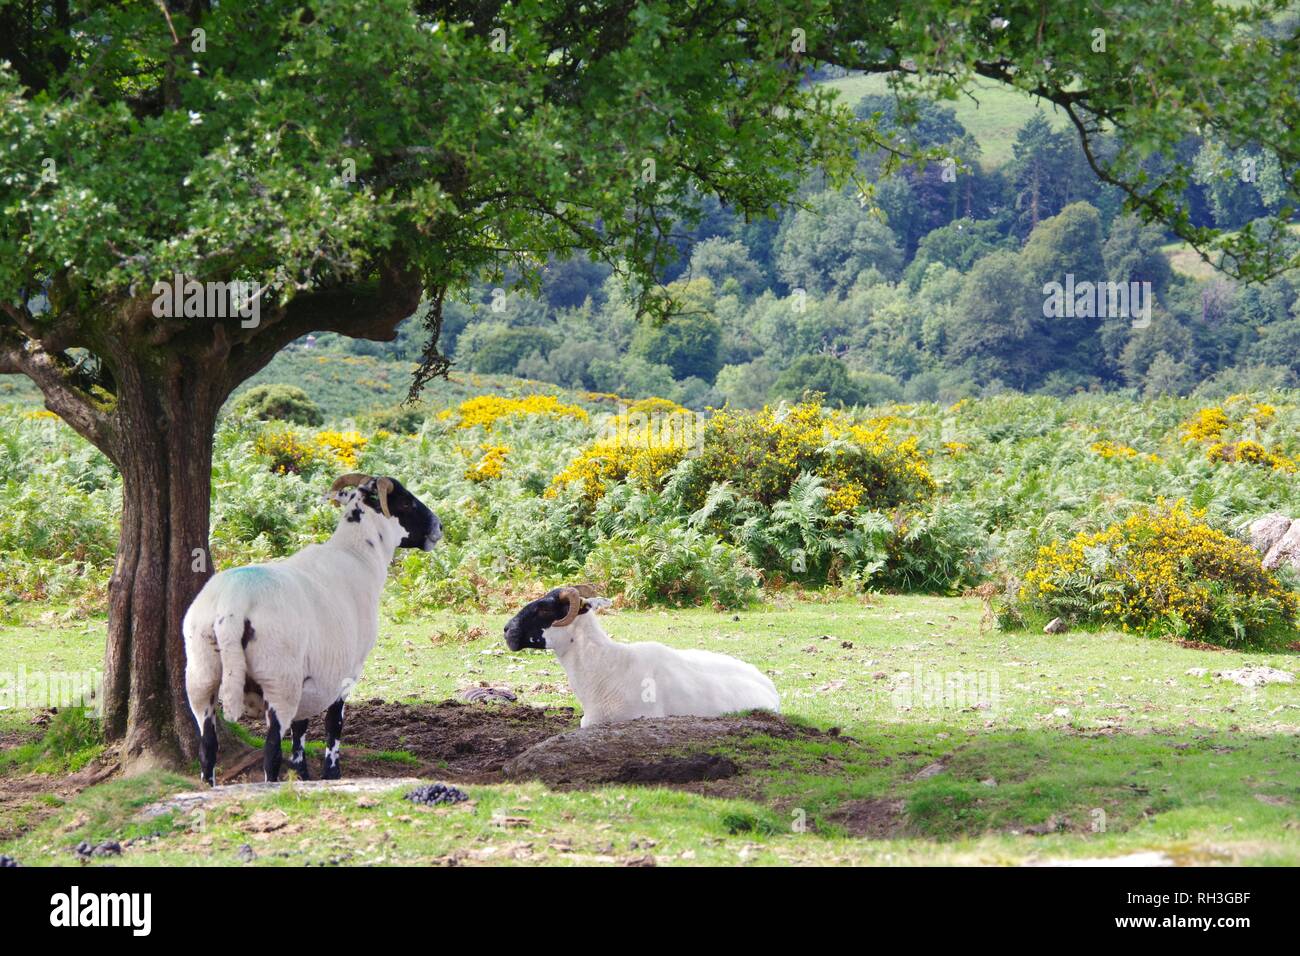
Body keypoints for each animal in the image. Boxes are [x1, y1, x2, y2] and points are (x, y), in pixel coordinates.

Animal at [182, 473, 442, 785]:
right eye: (405, 502)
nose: (438, 526)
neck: (358, 555)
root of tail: (232, 607)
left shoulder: (309, 677)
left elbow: (301, 726)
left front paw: (302, 773)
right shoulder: (346, 671)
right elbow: (333, 723)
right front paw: (331, 773)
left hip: (201, 676)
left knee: (207, 748)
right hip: (278, 679)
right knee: (271, 752)